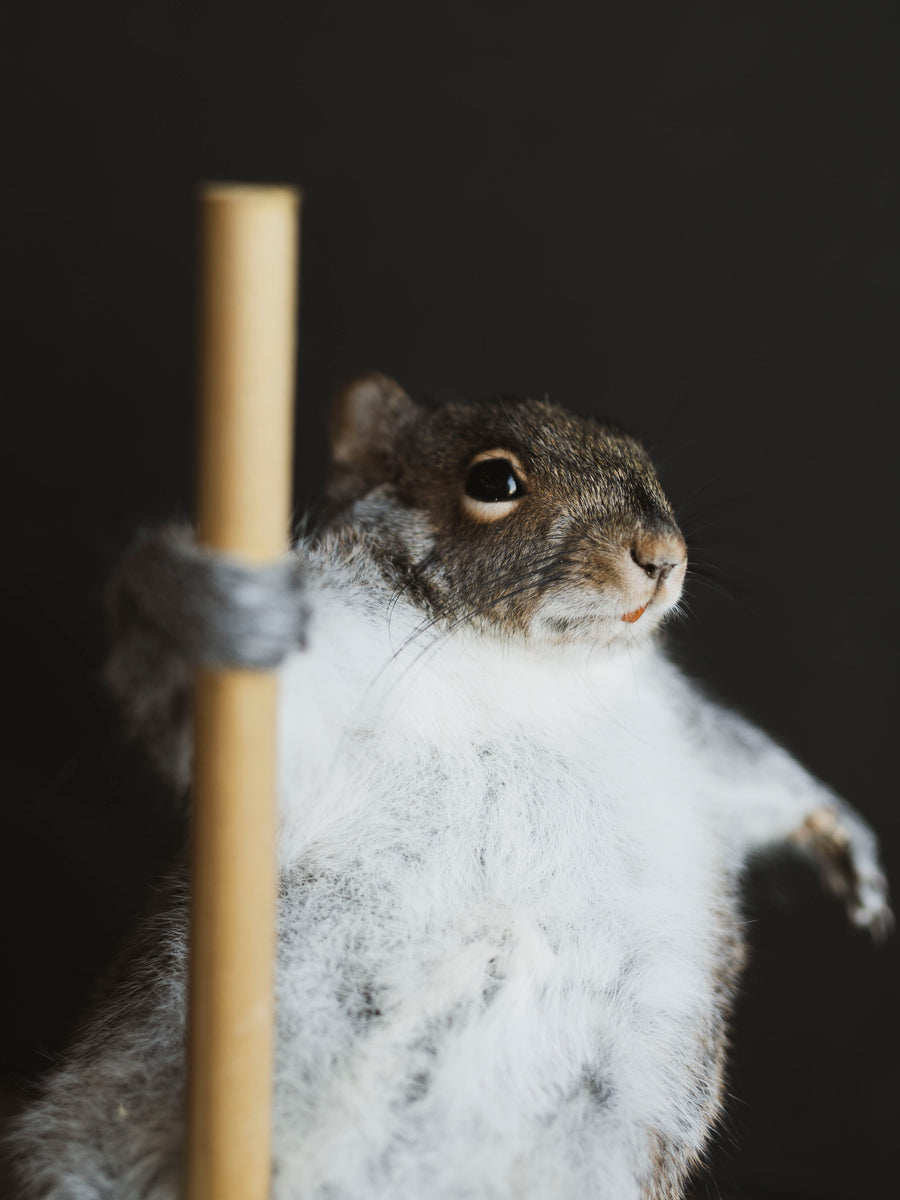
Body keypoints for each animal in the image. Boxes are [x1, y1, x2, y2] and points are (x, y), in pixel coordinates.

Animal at [10, 374, 892, 1199]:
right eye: (494, 481)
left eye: (638, 453)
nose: (661, 557)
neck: (532, 672)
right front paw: (201, 609)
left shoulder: (689, 742)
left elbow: (755, 772)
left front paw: (849, 846)